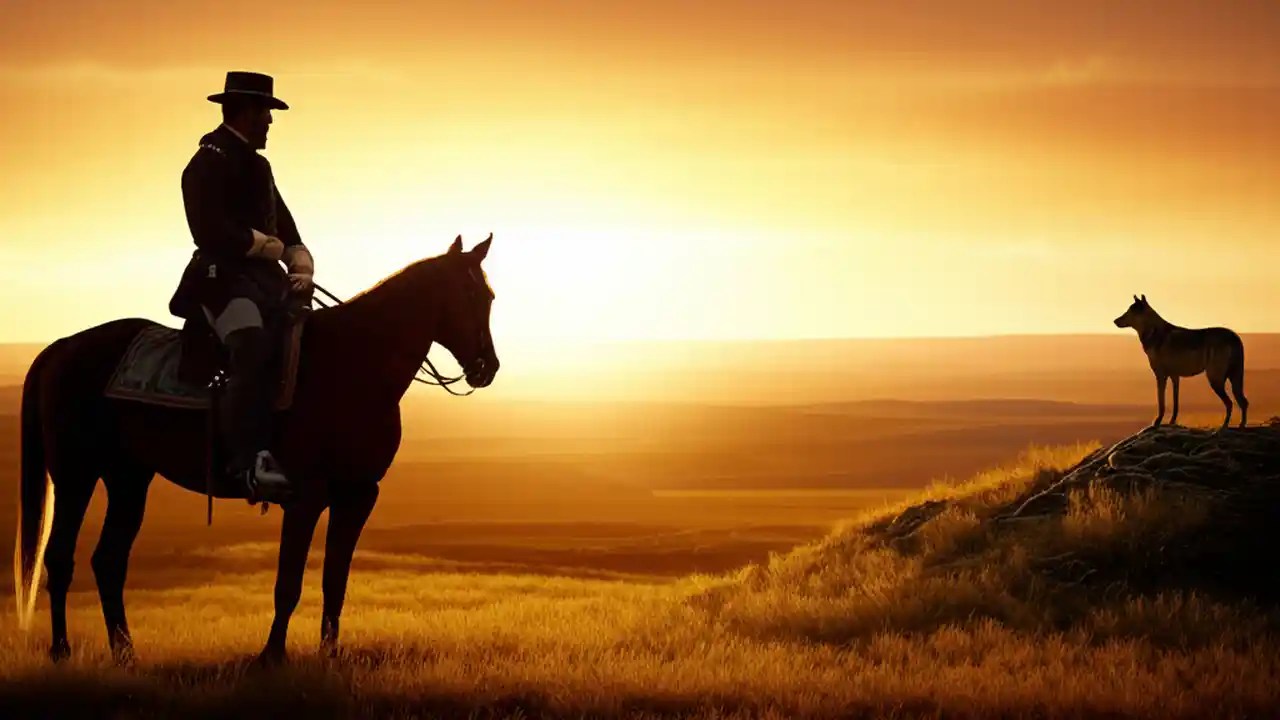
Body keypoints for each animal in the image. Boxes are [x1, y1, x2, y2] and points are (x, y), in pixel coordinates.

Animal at [13, 235, 498, 664]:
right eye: (471, 294)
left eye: (490, 297)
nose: (487, 368)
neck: (354, 365)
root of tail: (61, 348)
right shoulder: (306, 497)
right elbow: (288, 583)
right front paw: (272, 655)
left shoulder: (358, 495)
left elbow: (335, 581)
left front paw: (329, 654)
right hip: (76, 475)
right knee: (60, 557)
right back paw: (61, 651)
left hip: (128, 479)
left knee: (109, 560)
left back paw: (126, 653)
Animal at [1113, 294, 1247, 430]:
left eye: (1129, 312)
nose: (1115, 321)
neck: (1154, 332)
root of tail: (1234, 336)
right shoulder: (1175, 376)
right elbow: (1176, 403)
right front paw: (1172, 421)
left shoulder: (1161, 376)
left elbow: (1161, 403)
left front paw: (1157, 422)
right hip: (1233, 379)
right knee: (1243, 402)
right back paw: (1241, 425)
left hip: (1215, 380)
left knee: (1230, 403)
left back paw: (1223, 427)